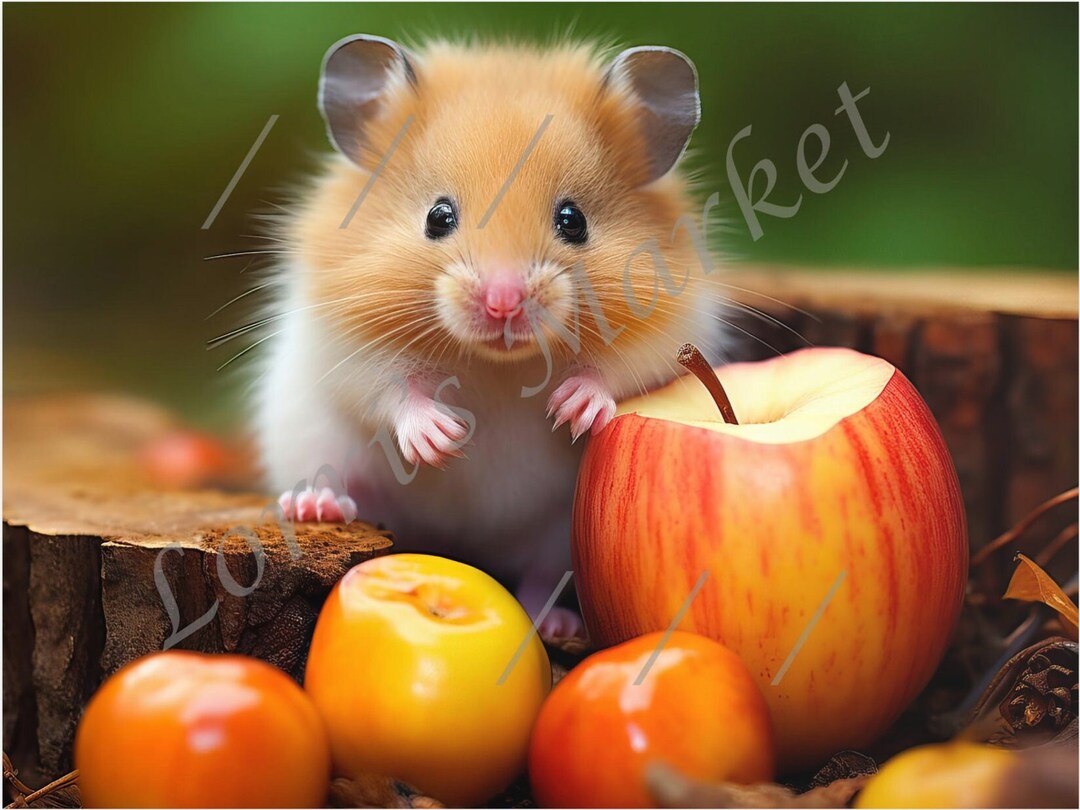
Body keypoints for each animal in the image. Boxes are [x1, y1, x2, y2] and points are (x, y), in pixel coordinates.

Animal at [253, 35, 722, 638]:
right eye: (438, 216)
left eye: (573, 220)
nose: (503, 302)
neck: (497, 363)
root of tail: (464, 547)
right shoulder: (344, 341)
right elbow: (392, 389)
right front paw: (443, 439)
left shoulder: (668, 332)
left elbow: (617, 373)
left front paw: (571, 408)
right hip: (322, 449)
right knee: (346, 489)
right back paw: (316, 505)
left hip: (558, 534)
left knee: (540, 577)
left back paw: (554, 624)